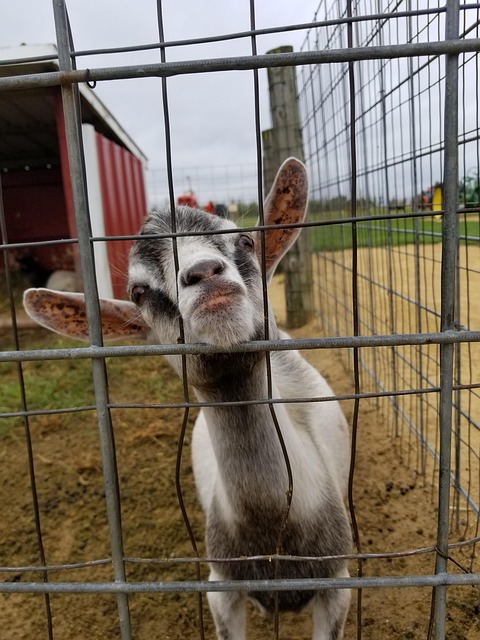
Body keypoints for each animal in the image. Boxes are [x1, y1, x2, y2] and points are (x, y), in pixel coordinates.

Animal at [23, 158, 352, 639]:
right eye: (139, 292)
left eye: (245, 240)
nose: (205, 274)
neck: (271, 519)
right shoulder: (222, 591)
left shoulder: (338, 585)